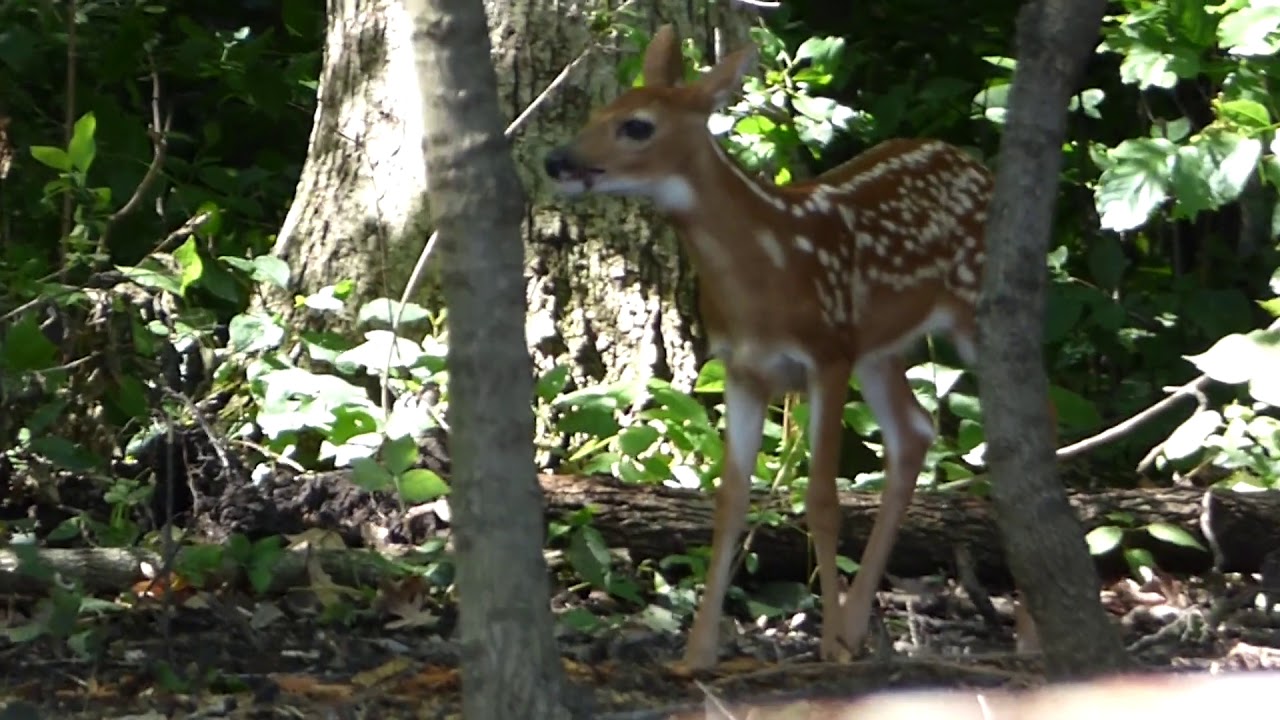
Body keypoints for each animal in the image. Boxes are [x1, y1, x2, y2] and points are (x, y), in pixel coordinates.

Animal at [543, 25, 994, 672]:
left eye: (637, 126)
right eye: (597, 112)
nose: (557, 160)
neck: (765, 268)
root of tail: (972, 164)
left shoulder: (826, 352)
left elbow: (823, 499)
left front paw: (829, 650)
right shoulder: (743, 368)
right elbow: (730, 499)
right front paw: (696, 655)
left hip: (972, 309)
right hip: (878, 349)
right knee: (914, 432)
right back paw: (859, 625)